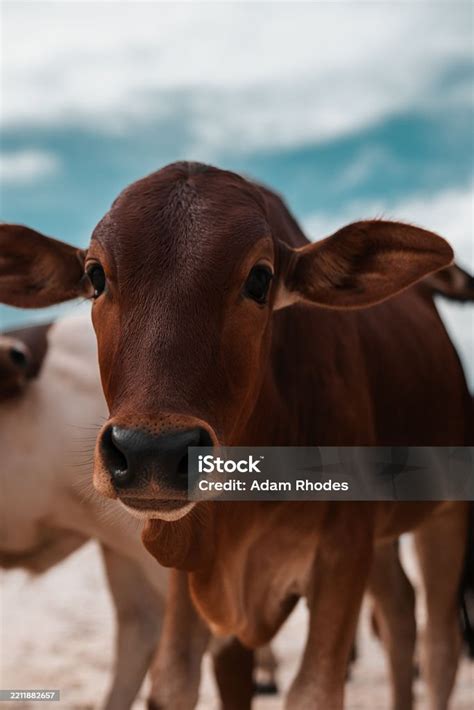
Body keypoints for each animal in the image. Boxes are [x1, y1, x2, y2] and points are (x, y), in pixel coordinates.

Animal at [0, 161, 472, 709]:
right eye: (95, 276)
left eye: (260, 278)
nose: (151, 453)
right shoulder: (184, 568)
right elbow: (174, 683)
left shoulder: (343, 549)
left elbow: (315, 689)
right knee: (398, 613)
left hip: (446, 514)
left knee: (438, 646)